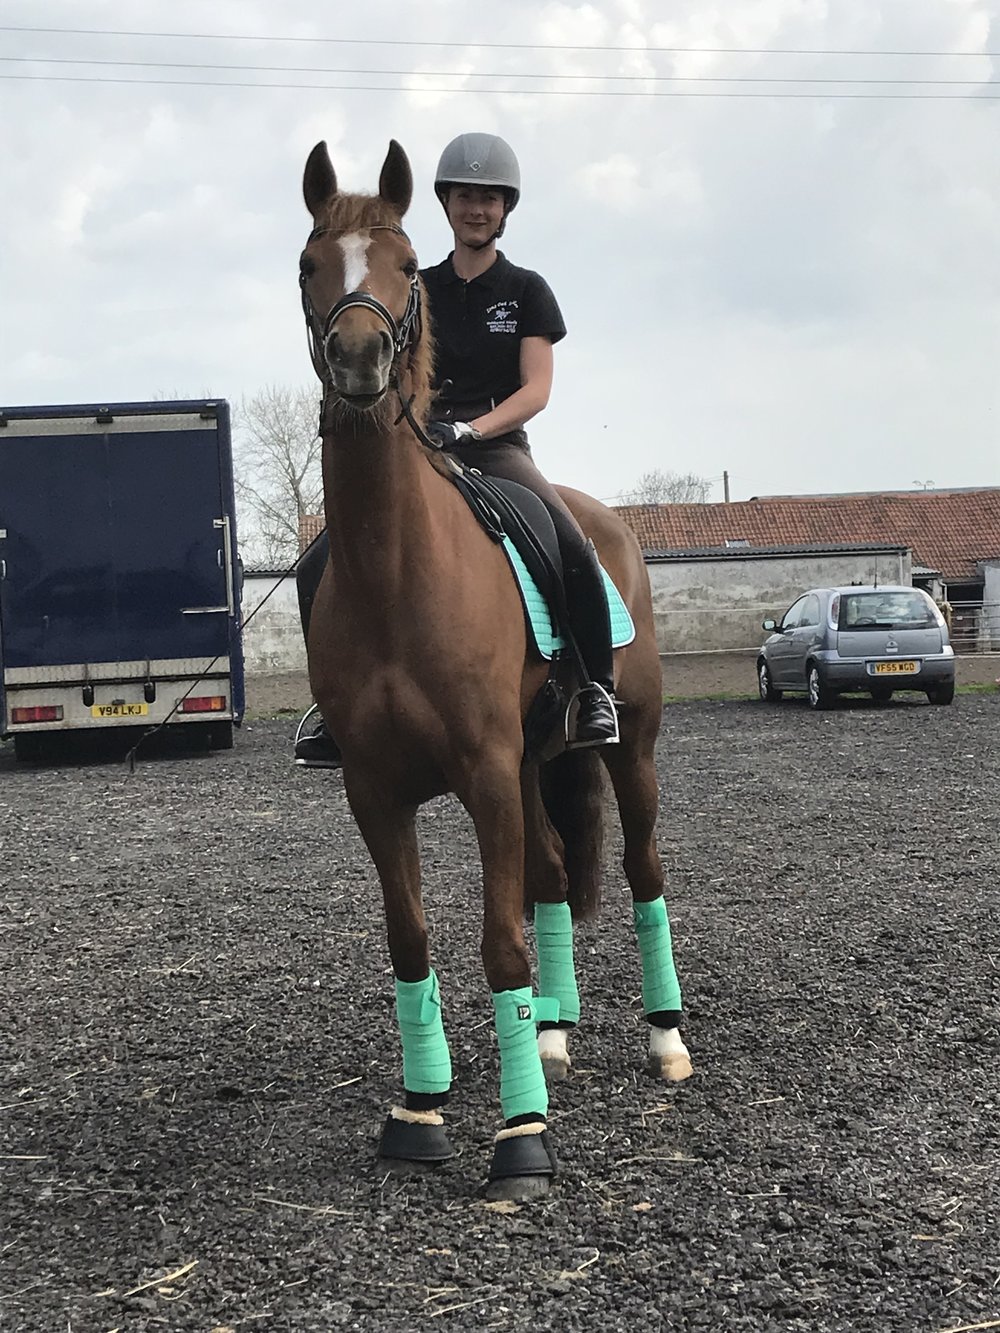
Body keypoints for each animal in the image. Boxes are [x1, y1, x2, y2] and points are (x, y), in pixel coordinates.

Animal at [297, 139, 693, 1200]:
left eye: (404, 268)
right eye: (310, 264)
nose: (358, 362)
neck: (397, 569)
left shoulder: (479, 772)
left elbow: (500, 942)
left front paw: (522, 1136)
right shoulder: (374, 787)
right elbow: (412, 939)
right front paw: (420, 1107)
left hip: (624, 748)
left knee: (641, 870)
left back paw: (665, 1039)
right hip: (528, 763)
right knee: (554, 871)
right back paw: (550, 1036)